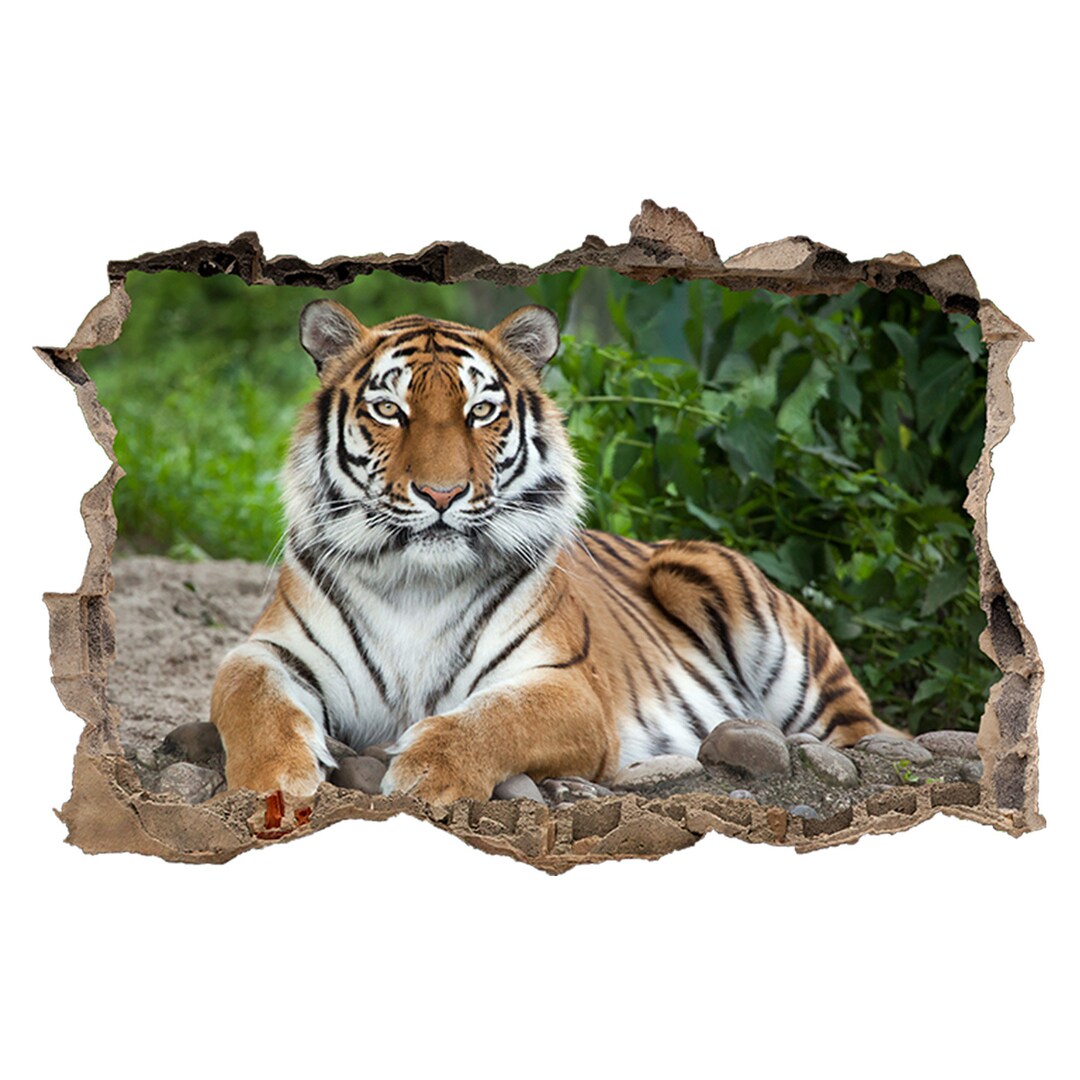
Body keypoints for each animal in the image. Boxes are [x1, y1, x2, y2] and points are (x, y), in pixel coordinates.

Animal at [210, 299, 891, 808]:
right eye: (389, 410)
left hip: (725, 592)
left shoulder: (567, 686)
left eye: (481, 411)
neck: (417, 584)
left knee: (862, 734)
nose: (440, 494)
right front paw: (275, 779)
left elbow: (495, 717)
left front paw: (427, 771)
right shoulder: (272, 650)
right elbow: (250, 695)